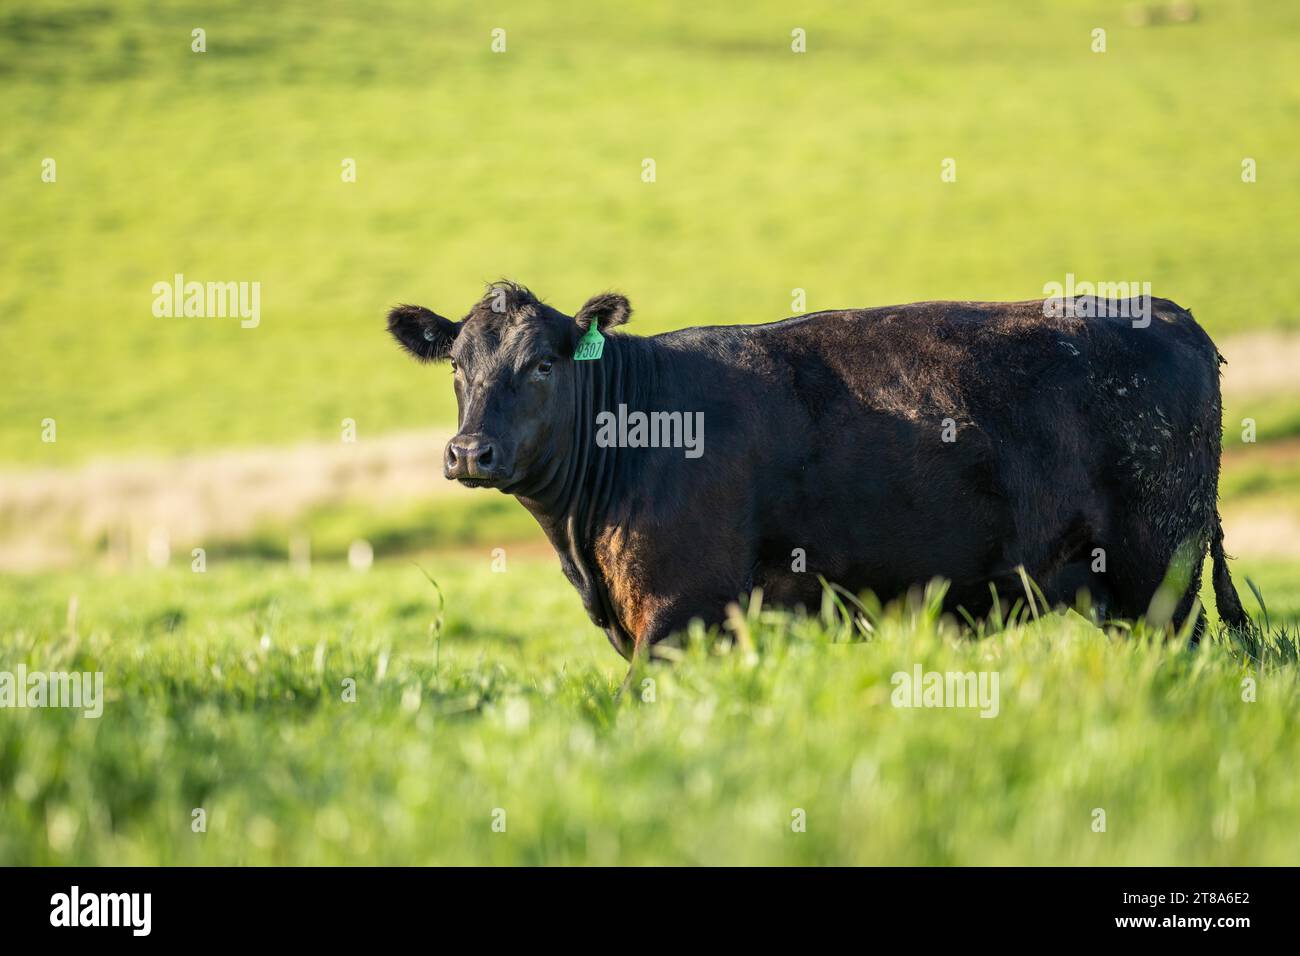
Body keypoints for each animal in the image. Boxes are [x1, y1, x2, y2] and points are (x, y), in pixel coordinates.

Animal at [386, 281, 1248, 660]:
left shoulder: (679, 611)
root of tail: (1169, 312)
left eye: (541, 364)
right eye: (458, 364)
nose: (468, 452)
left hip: (1159, 577)